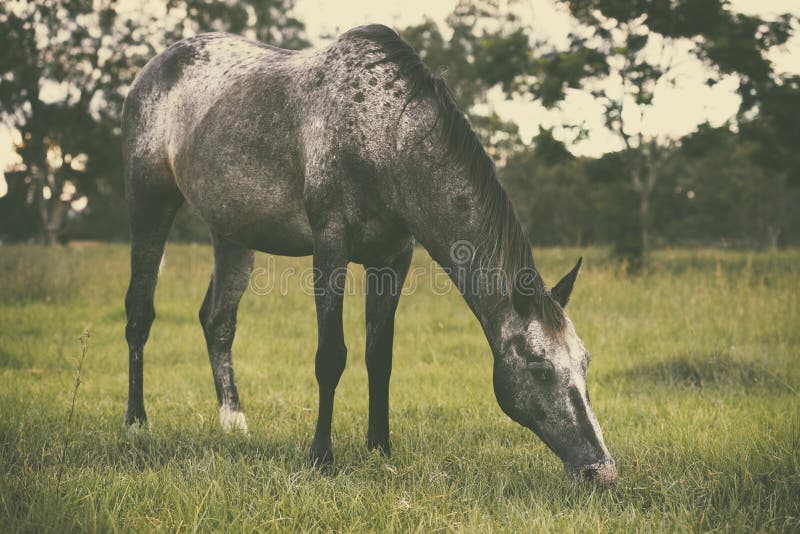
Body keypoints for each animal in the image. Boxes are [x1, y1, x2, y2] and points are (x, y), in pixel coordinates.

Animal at [121, 24, 615, 484]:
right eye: (538, 369)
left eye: (586, 362)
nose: (601, 469)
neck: (383, 134)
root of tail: (154, 67)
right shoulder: (330, 246)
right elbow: (331, 356)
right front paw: (321, 456)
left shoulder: (393, 259)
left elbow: (380, 357)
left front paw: (380, 447)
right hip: (150, 205)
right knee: (140, 313)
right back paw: (136, 422)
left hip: (233, 234)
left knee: (218, 322)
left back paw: (234, 423)